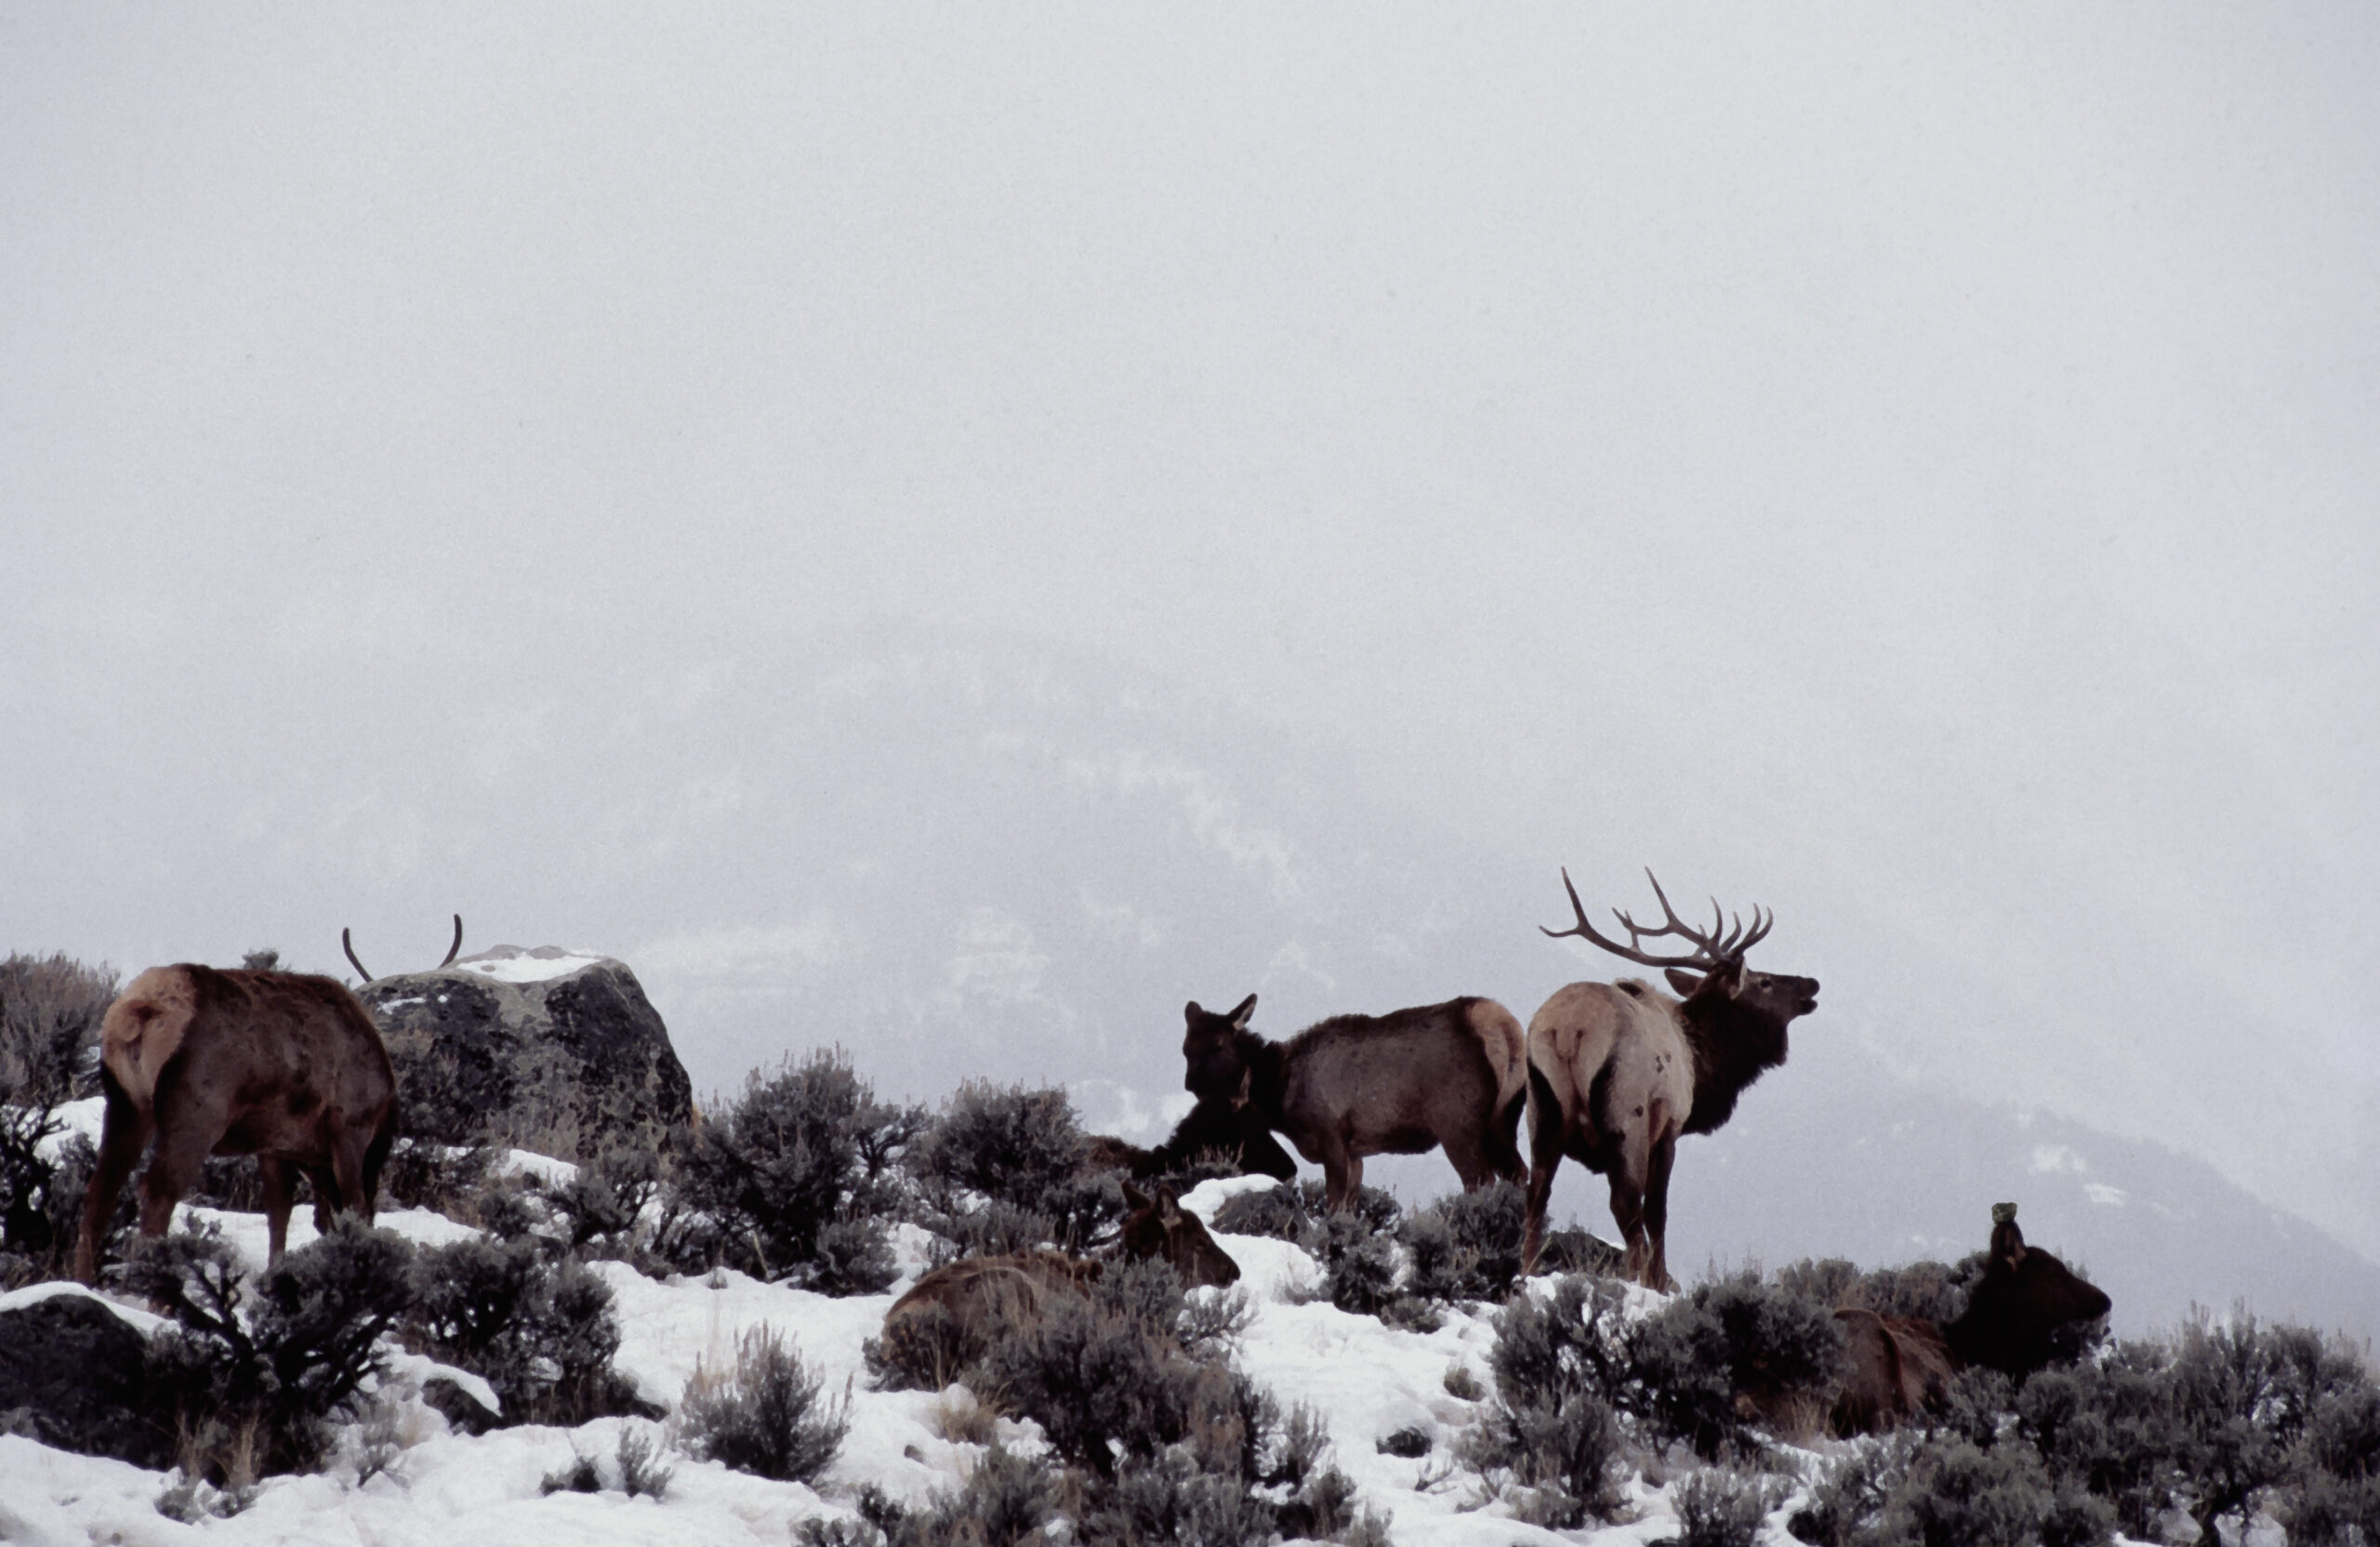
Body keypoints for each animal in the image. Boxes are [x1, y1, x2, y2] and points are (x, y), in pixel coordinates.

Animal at [76, 962, 400, 1285]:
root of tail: (143, 1010)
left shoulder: (274, 1146)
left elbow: (280, 1212)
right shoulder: (351, 1127)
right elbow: (354, 1207)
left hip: (125, 1105)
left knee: (100, 1192)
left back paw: (83, 1280)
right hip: (195, 1113)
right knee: (157, 1192)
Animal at [1179, 992, 1528, 1211]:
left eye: (1219, 1045)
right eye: (1185, 1049)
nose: (1190, 1084)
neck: (1280, 1092)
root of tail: (1503, 1027)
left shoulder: (1330, 1134)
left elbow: (1334, 1204)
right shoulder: (1356, 1151)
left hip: (1457, 1122)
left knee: (1481, 1180)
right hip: (1503, 1120)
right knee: (1520, 1174)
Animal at [1521, 868, 1820, 1289]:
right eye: (1764, 981)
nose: (1811, 983)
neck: (1701, 1062)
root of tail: (1568, 1029)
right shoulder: (1670, 1128)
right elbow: (1657, 1213)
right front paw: (1658, 1282)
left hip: (1540, 1110)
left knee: (1536, 1196)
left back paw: (1527, 1273)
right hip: (1626, 1113)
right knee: (1626, 1205)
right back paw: (1634, 1281)